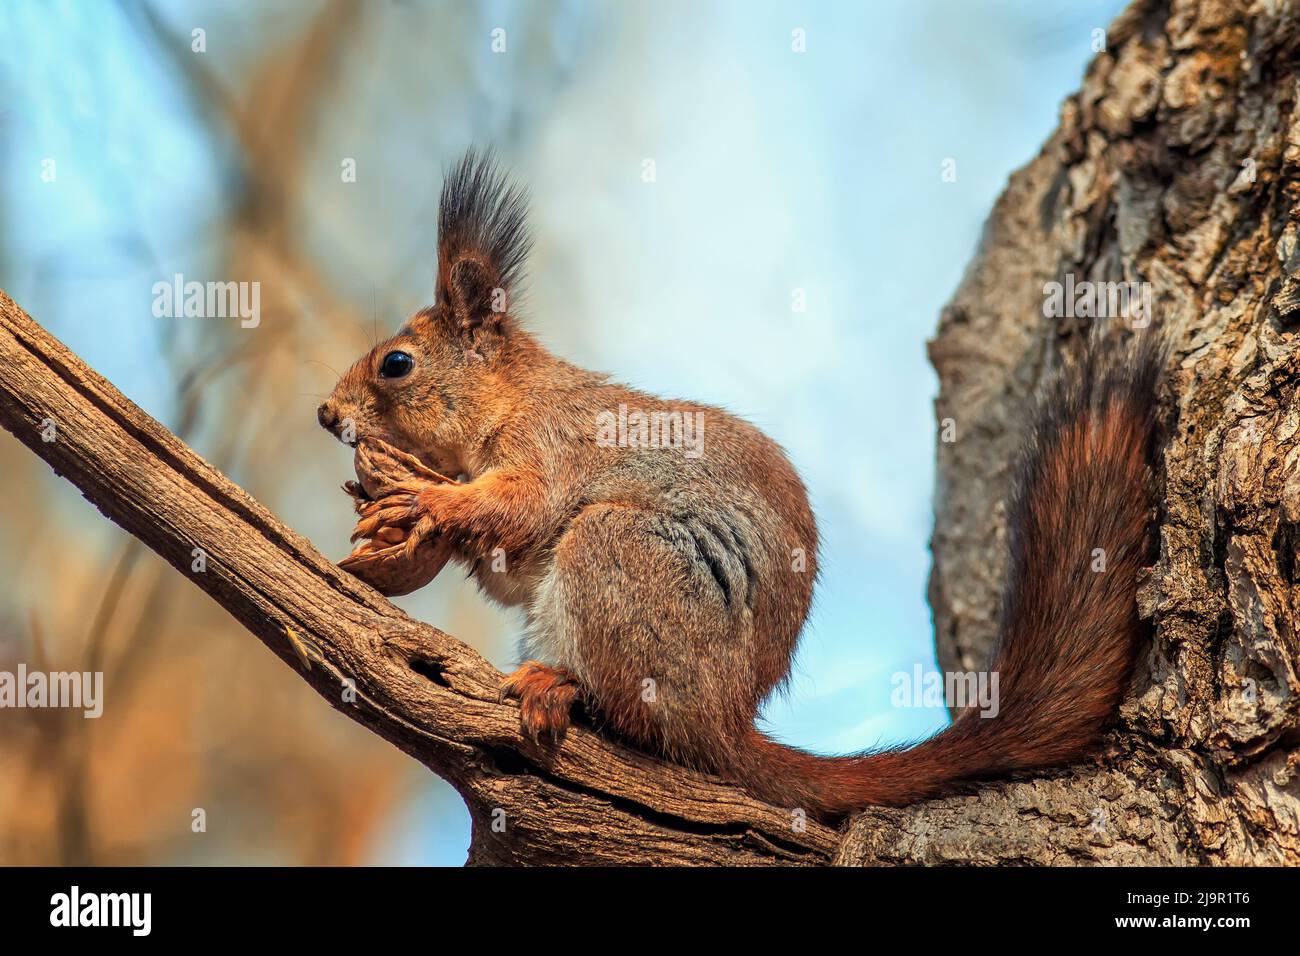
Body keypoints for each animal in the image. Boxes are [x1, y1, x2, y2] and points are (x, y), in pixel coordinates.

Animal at [317, 150, 1166, 822]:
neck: (512, 399)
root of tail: (726, 720)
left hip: (619, 557)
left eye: (397, 364)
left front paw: (431, 499)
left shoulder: (552, 452)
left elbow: (521, 509)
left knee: (631, 708)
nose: (327, 414)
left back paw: (559, 685)